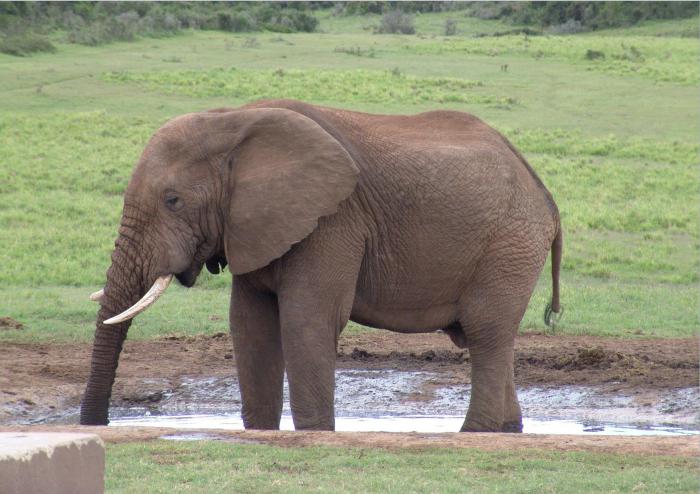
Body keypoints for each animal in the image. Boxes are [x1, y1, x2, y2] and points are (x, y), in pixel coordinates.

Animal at [80, 97, 564, 432]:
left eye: (172, 201)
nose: (97, 424)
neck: (234, 119)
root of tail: (543, 192)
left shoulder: (332, 221)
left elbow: (306, 321)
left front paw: (314, 433)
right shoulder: (256, 225)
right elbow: (250, 325)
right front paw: (261, 432)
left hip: (509, 245)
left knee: (486, 334)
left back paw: (473, 433)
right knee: (493, 338)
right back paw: (508, 430)